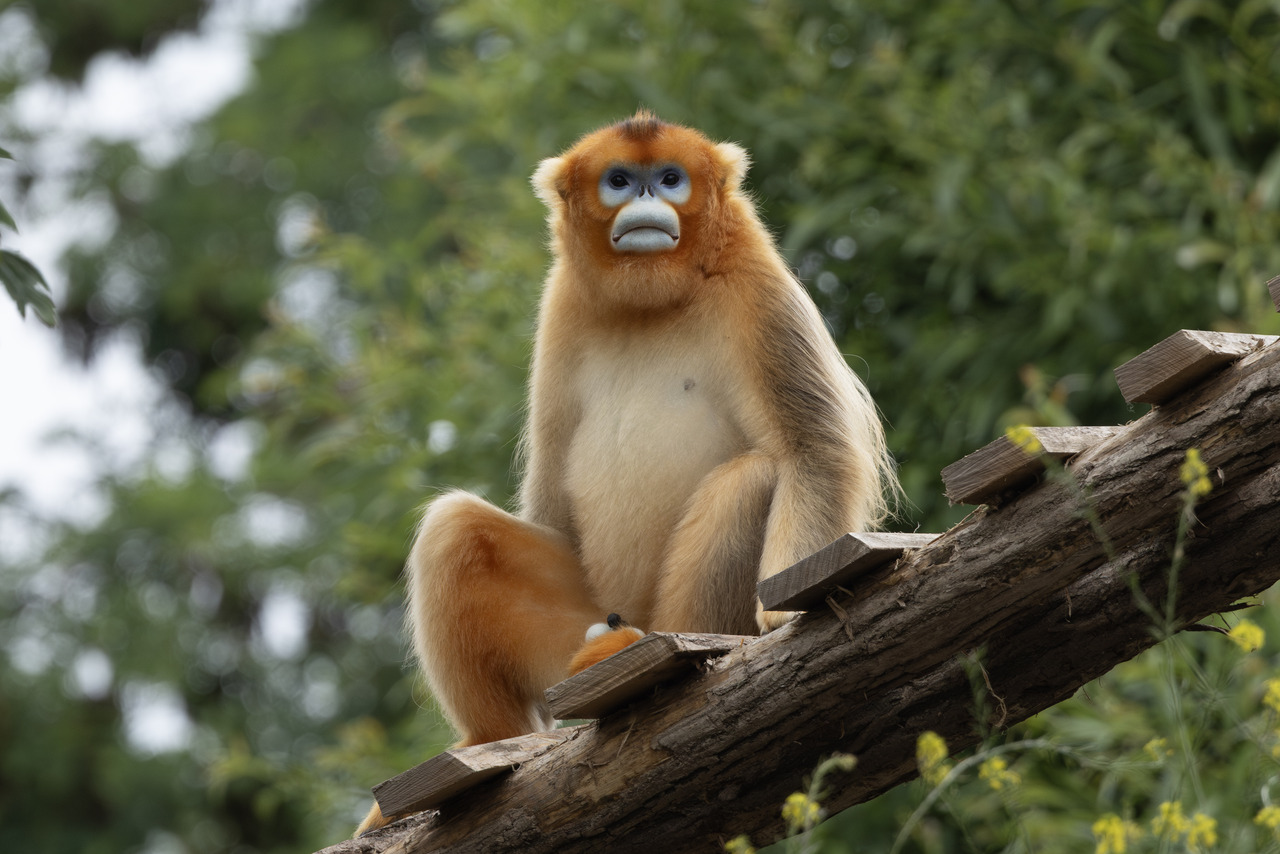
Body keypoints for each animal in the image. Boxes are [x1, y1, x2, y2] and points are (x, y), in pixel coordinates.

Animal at [356, 111, 895, 835]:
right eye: (619, 181)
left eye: (669, 179)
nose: (645, 199)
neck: (654, 297)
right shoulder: (561, 303)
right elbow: (551, 511)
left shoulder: (757, 281)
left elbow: (816, 449)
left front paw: (786, 618)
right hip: (582, 622)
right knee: (454, 525)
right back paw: (493, 738)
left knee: (752, 476)